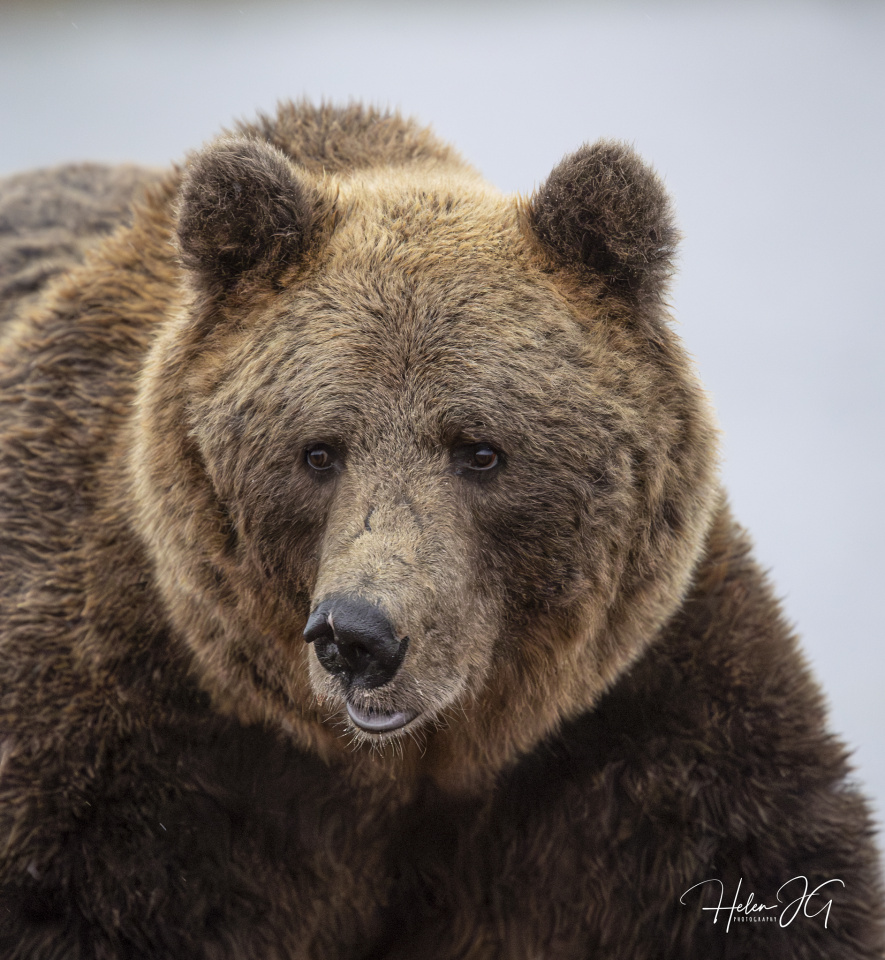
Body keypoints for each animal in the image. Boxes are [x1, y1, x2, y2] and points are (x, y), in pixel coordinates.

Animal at [0, 100, 882, 959]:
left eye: (481, 450)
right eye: (317, 450)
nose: (357, 637)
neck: (404, 767)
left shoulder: (647, 722)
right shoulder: (134, 748)